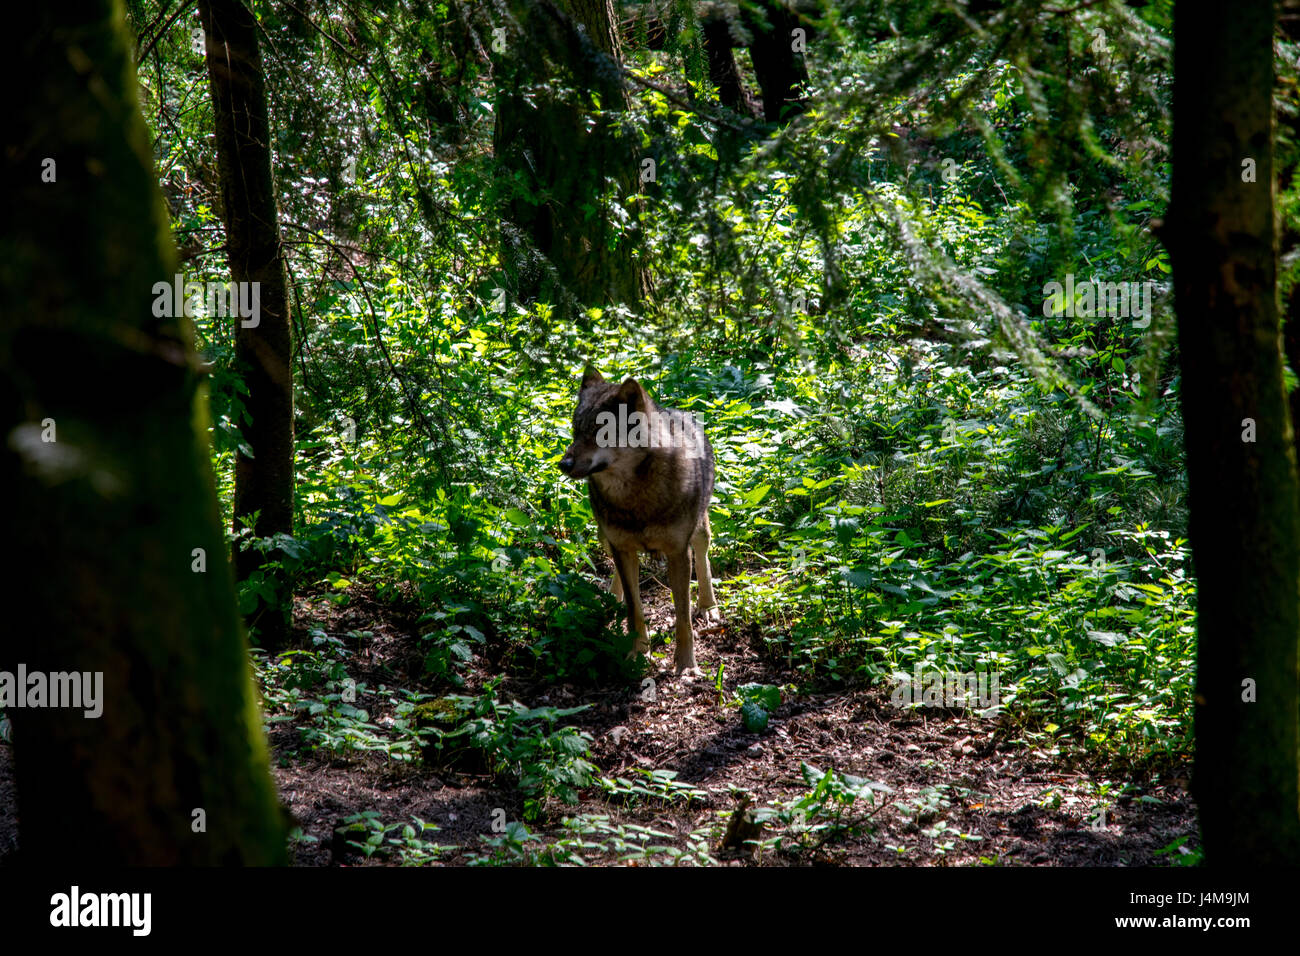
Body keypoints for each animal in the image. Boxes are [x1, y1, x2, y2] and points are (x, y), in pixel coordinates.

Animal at [558, 367, 718, 677]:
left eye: (601, 431)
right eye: (575, 429)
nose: (564, 464)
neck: (636, 498)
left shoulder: (679, 553)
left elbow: (683, 616)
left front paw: (686, 665)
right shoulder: (622, 547)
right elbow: (635, 609)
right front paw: (638, 654)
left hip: (699, 531)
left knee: (704, 559)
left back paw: (708, 606)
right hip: (605, 537)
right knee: (619, 576)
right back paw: (612, 598)